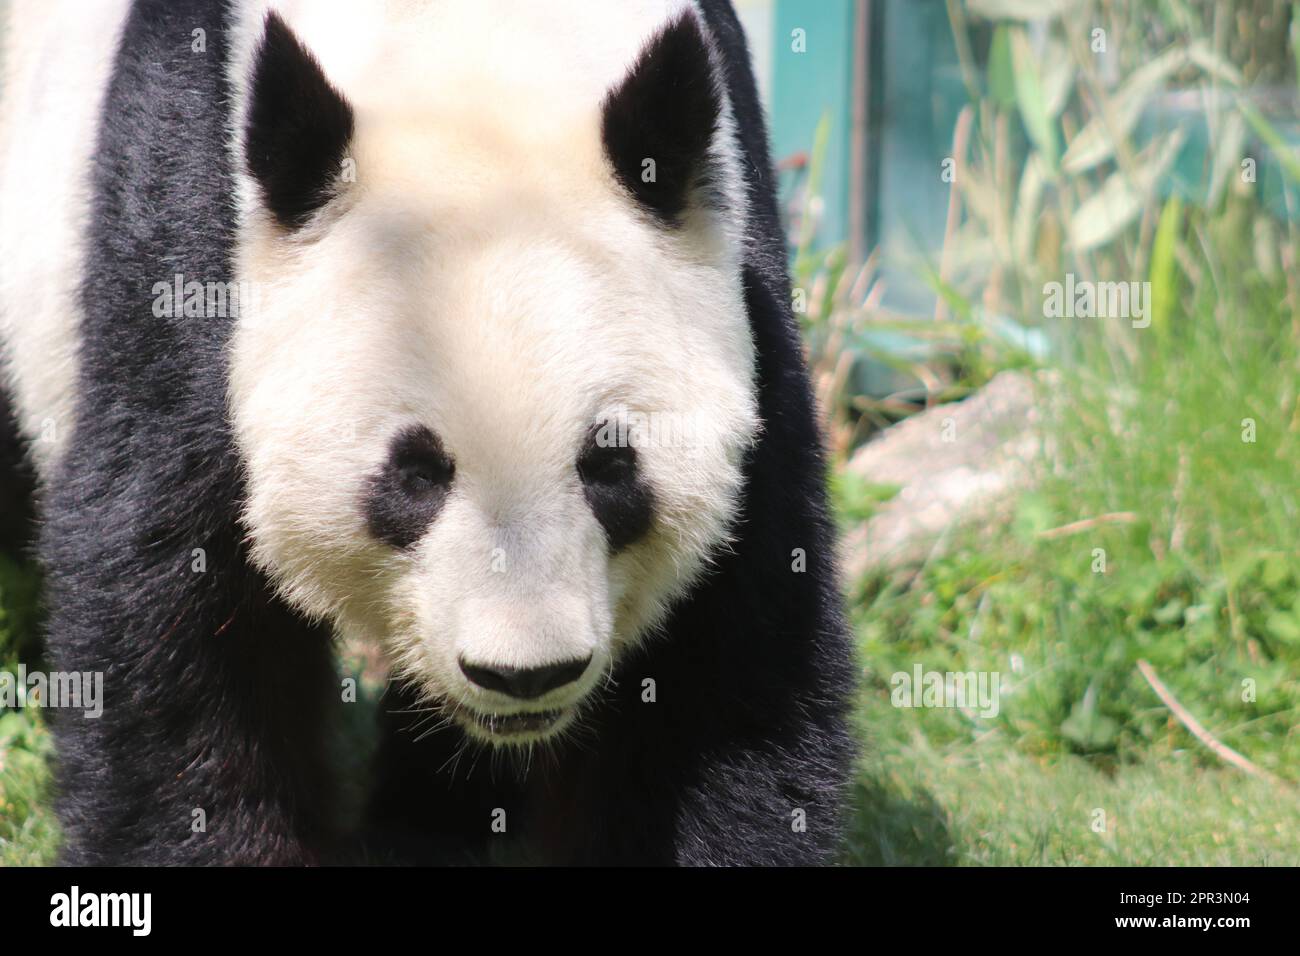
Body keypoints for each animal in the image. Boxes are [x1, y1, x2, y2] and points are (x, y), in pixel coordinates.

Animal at [0, 0, 855, 865]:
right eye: (415, 473)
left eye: (609, 465)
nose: (526, 674)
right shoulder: (191, 252)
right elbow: (175, 613)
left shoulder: (740, 268)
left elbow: (728, 672)